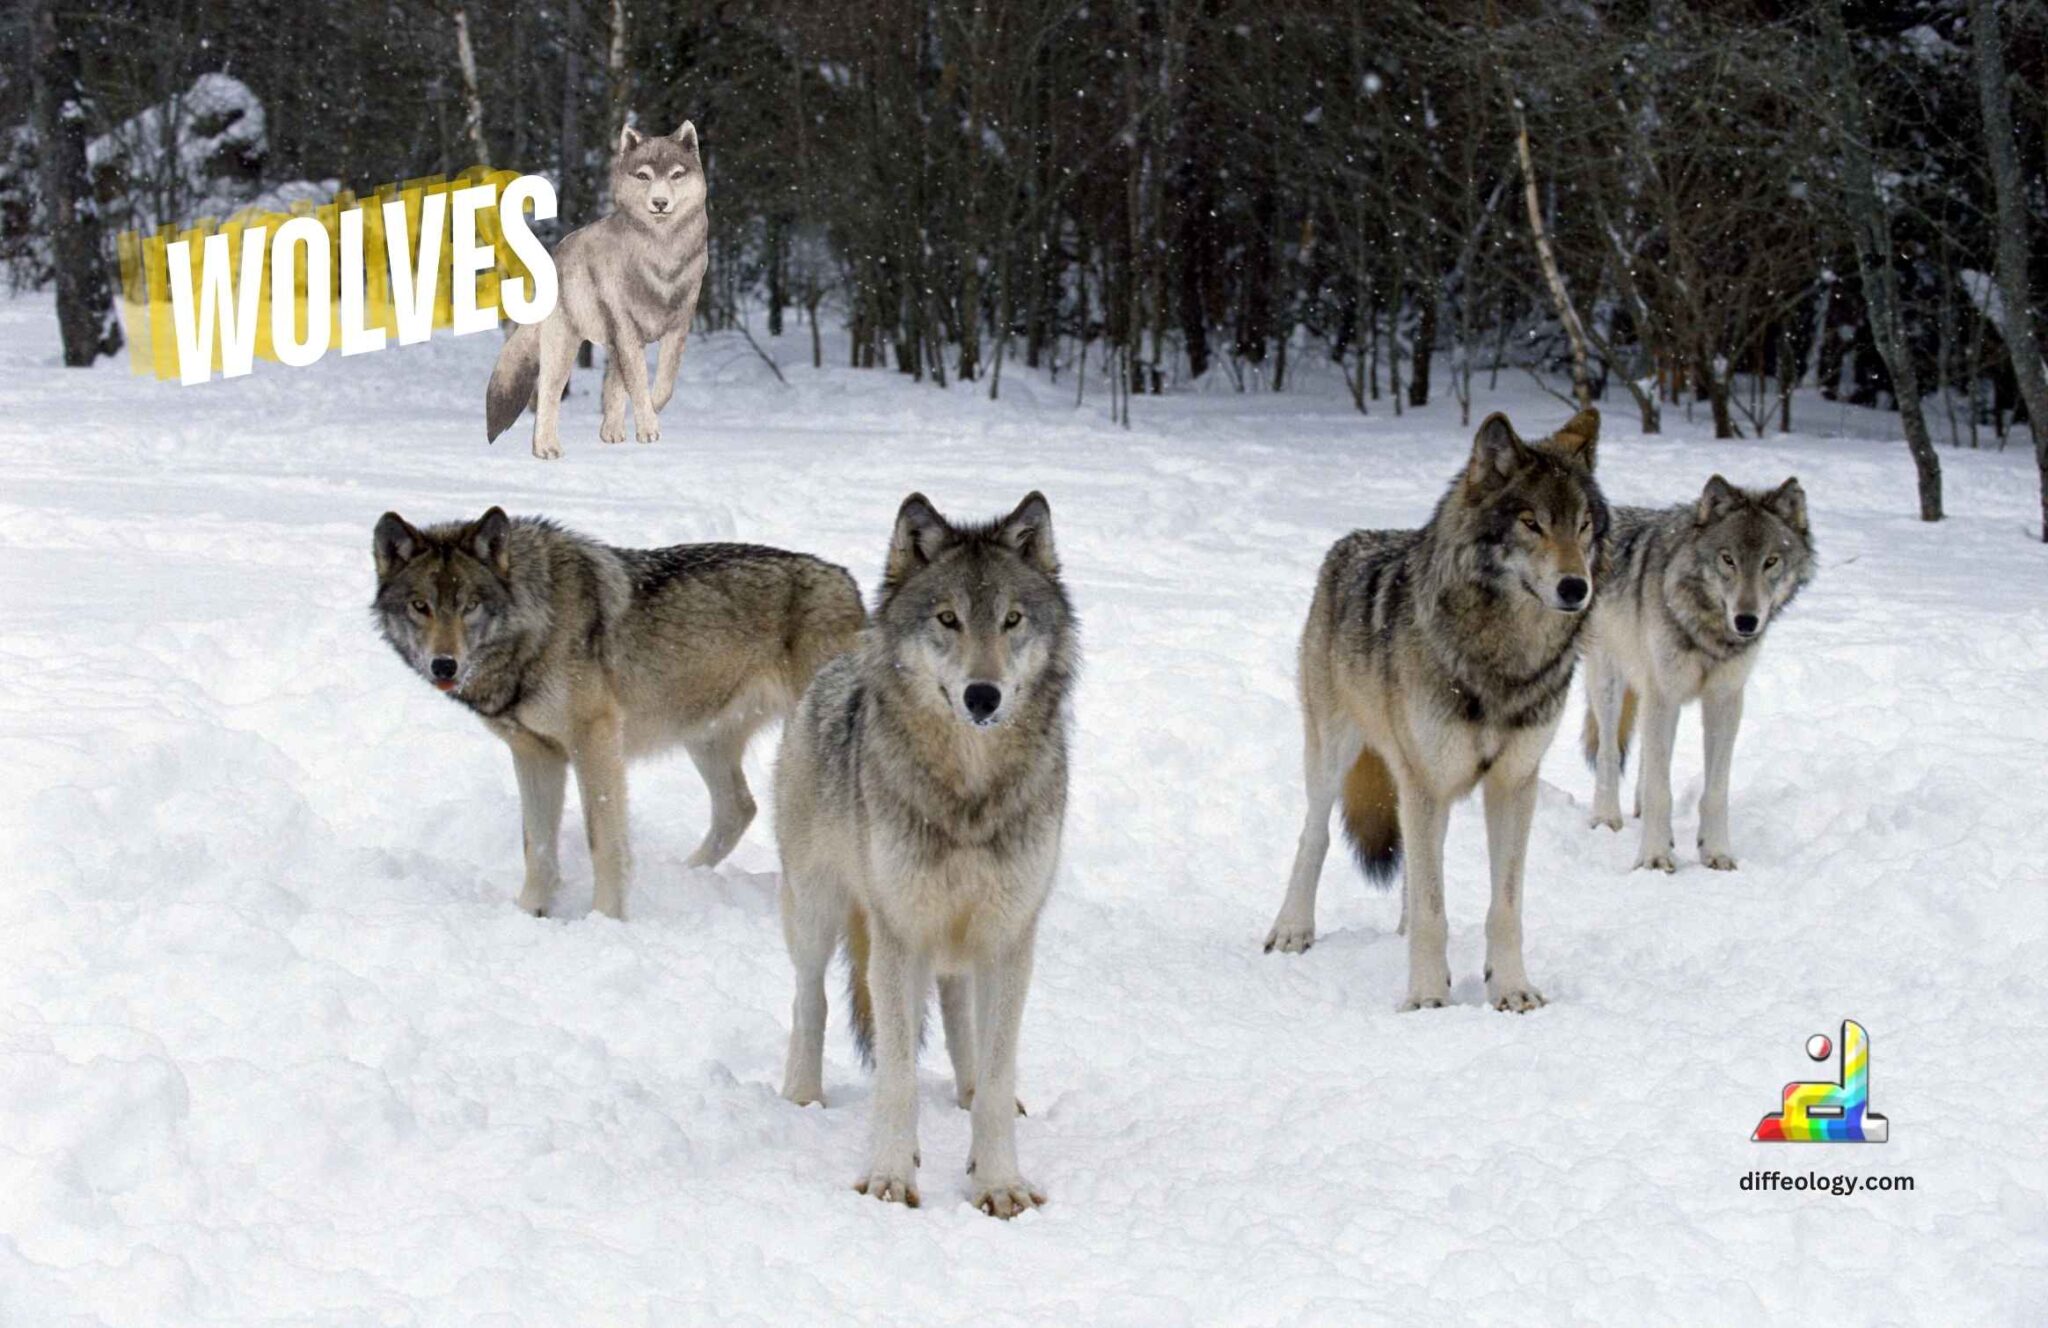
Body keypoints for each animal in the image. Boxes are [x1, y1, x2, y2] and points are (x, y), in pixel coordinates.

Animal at [371, 506, 863, 919]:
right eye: (421, 606)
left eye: (470, 605)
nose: (444, 665)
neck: (536, 625)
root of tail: (849, 583)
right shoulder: (535, 753)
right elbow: (537, 846)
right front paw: (530, 913)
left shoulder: (595, 742)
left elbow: (603, 843)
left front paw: (605, 920)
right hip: (704, 739)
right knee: (738, 809)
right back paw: (686, 876)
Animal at [485, 120, 709, 459]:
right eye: (643, 176)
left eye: (676, 175)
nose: (659, 203)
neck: (662, 254)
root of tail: (555, 253)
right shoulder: (627, 332)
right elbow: (639, 384)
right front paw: (649, 428)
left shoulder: (678, 328)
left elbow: (663, 386)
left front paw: (648, 419)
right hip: (566, 348)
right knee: (548, 395)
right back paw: (546, 449)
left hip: (613, 347)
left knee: (612, 386)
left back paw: (611, 433)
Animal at [775, 492, 1076, 1218]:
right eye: (947, 619)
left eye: (1012, 620)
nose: (982, 696)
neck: (968, 792)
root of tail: (840, 659)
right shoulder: (898, 935)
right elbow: (897, 1076)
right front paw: (890, 1176)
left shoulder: (1009, 936)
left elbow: (995, 1072)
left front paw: (998, 1182)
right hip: (818, 911)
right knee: (810, 1000)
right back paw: (802, 1098)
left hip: (959, 940)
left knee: (961, 1017)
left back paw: (965, 1095)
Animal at [1263, 409, 1607, 1013]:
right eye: (1531, 523)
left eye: (1584, 525)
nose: (1575, 587)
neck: (1502, 661)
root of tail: (1351, 541)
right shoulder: (1426, 779)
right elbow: (1432, 910)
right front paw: (1426, 998)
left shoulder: (1513, 783)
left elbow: (1503, 908)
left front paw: (1511, 989)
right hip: (1337, 757)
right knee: (1316, 836)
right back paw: (1292, 929)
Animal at [1580, 475, 1813, 872]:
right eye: (1727, 559)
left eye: (1770, 561)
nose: (1747, 620)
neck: (1709, 633)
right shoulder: (1664, 694)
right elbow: (1661, 790)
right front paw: (1654, 857)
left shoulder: (1724, 700)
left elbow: (1715, 790)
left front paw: (1716, 853)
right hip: (1610, 683)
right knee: (1610, 753)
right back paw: (1606, 819)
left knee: (1646, 757)